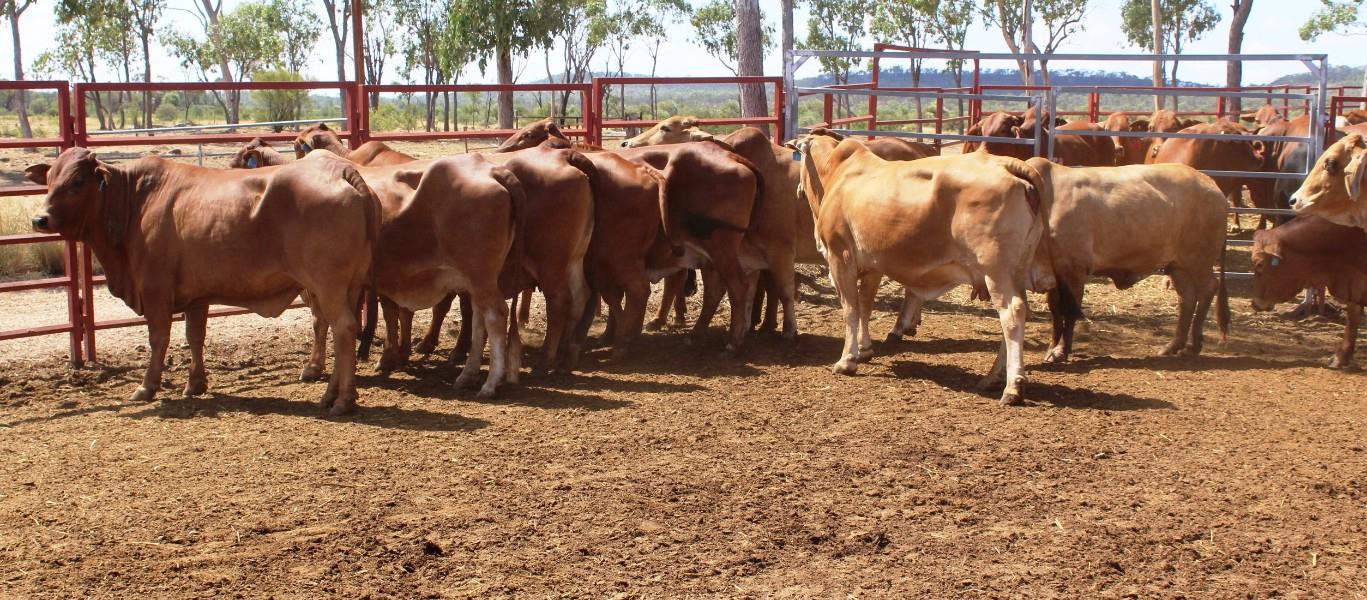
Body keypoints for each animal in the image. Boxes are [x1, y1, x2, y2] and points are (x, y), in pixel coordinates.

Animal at [26, 148, 378, 415]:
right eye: (49, 179)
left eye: (76, 181)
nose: (40, 219)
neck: (136, 202)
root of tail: (341, 169)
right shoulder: (197, 296)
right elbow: (194, 337)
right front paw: (195, 383)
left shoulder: (155, 290)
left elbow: (159, 339)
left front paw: (146, 387)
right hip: (348, 287)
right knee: (340, 330)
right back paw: (330, 394)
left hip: (327, 286)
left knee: (343, 328)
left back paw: (343, 401)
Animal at [793, 136, 1051, 406]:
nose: (798, 189)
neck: (837, 173)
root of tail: (1007, 164)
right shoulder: (873, 266)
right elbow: (865, 307)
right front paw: (865, 349)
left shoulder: (840, 257)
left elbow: (851, 309)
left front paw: (847, 360)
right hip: (1016, 270)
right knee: (1015, 316)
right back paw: (992, 378)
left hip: (996, 270)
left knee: (1011, 315)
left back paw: (1013, 387)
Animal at [1025, 159, 1230, 362]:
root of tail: (1210, 183)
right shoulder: (1054, 273)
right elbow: (1055, 311)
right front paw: (1052, 348)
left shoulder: (1073, 270)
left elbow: (1068, 311)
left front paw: (1060, 350)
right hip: (1178, 266)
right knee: (1187, 297)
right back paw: (1172, 346)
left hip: (1198, 260)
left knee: (1208, 288)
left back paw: (1192, 345)